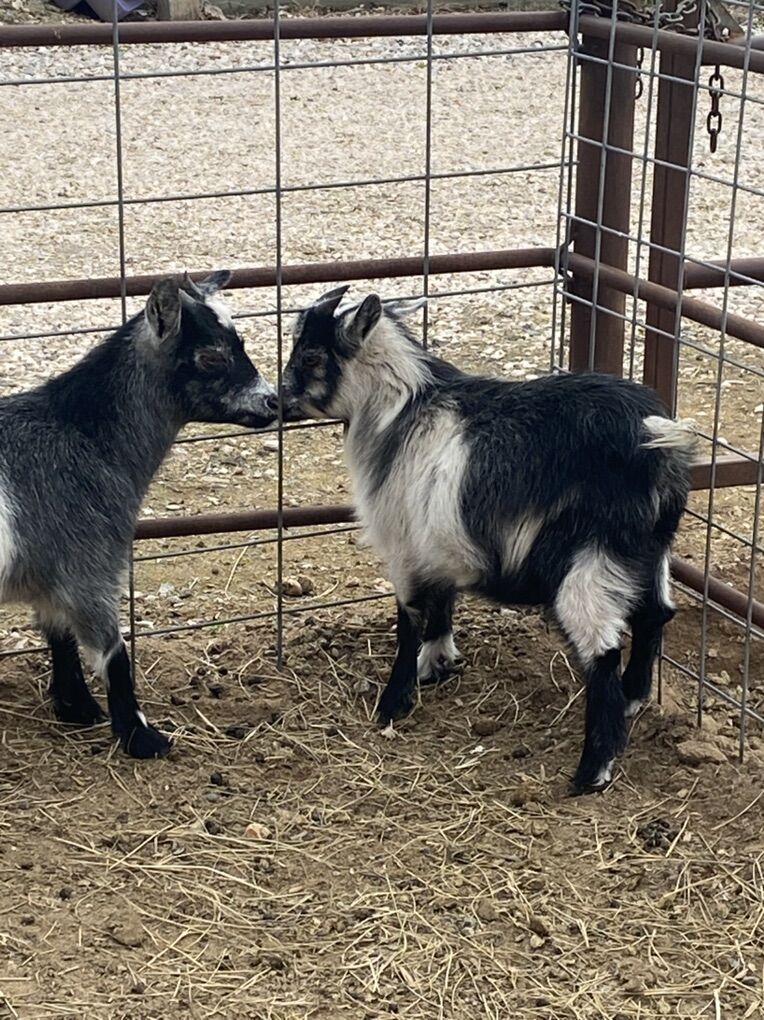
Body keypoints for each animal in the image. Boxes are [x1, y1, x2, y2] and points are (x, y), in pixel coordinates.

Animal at [0, 272, 278, 758]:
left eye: (240, 341)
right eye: (210, 358)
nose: (272, 403)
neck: (82, 433)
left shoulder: (51, 573)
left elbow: (58, 636)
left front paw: (77, 709)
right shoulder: (89, 565)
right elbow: (114, 654)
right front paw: (141, 736)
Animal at [281, 285, 696, 790]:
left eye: (312, 356)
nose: (277, 400)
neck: (399, 410)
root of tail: (652, 436)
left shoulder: (402, 543)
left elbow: (409, 617)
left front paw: (394, 701)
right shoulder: (434, 540)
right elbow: (441, 602)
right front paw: (437, 662)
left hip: (594, 556)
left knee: (602, 647)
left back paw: (591, 771)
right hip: (649, 550)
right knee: (656, 613)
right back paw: (633, 698)